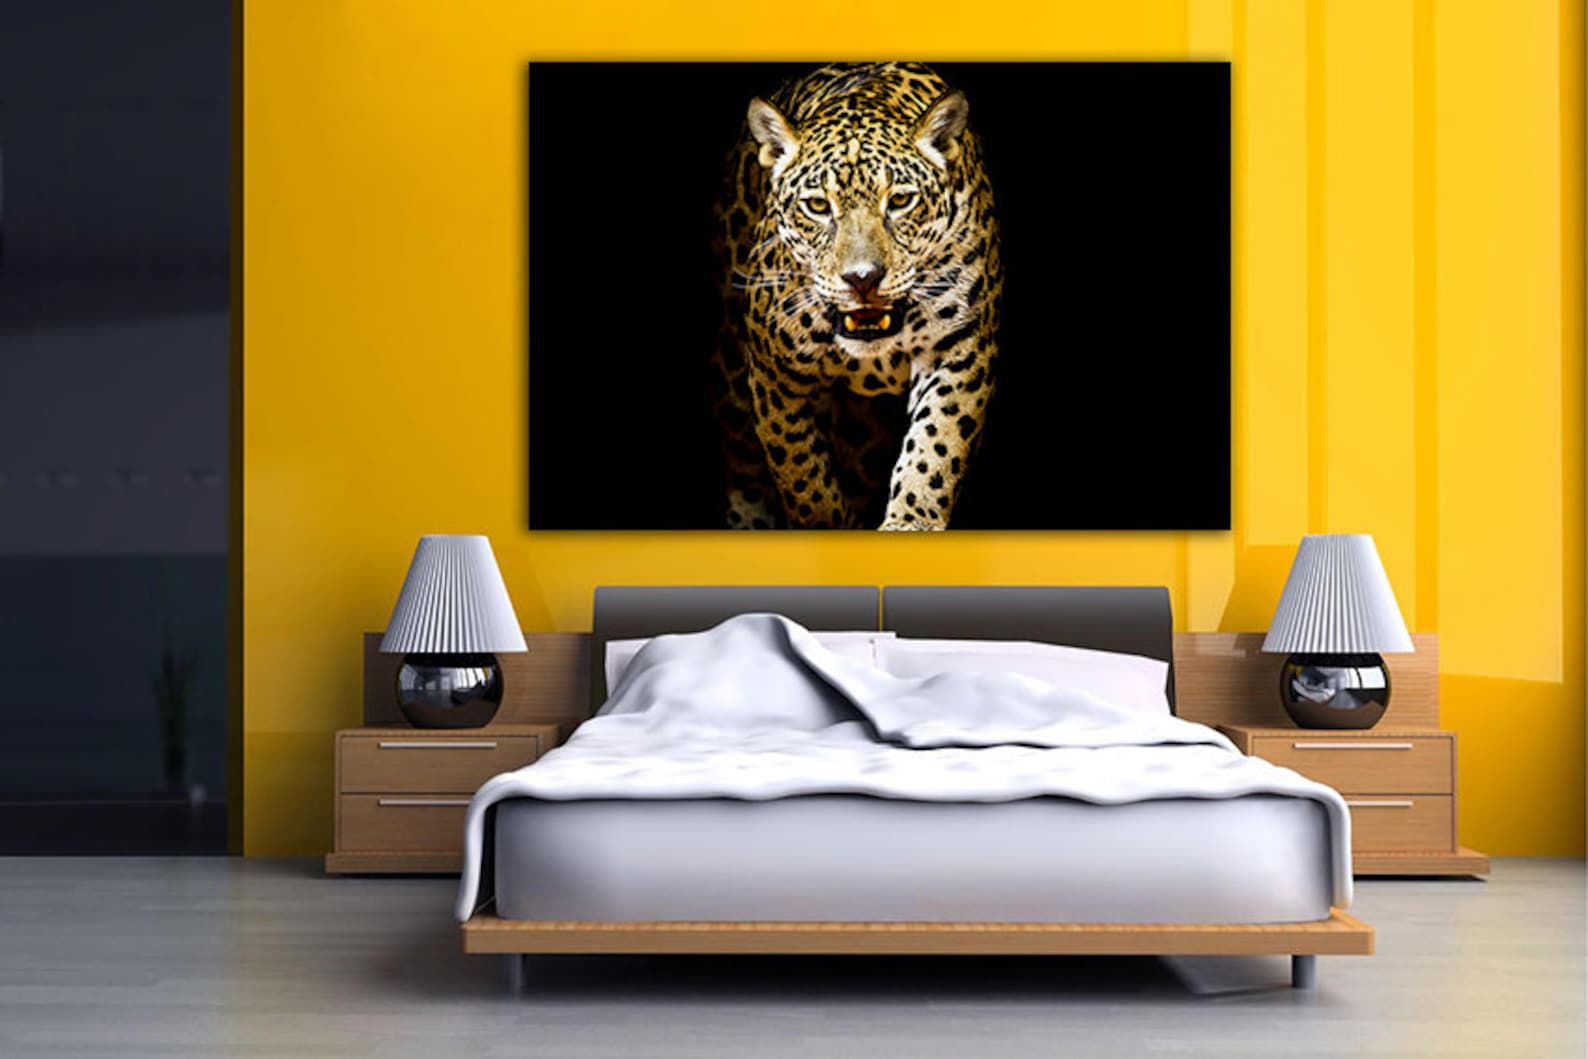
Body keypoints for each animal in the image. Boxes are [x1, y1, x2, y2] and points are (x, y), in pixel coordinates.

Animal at [711, 62, 1002, 530]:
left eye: (900, 201)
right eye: (817, 206)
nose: (863, 278)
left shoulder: (959, 349)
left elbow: (936, 445)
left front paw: (911, 519)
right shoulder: (774, 375)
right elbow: (801, 473)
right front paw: (828, 524)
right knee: (744, 469)